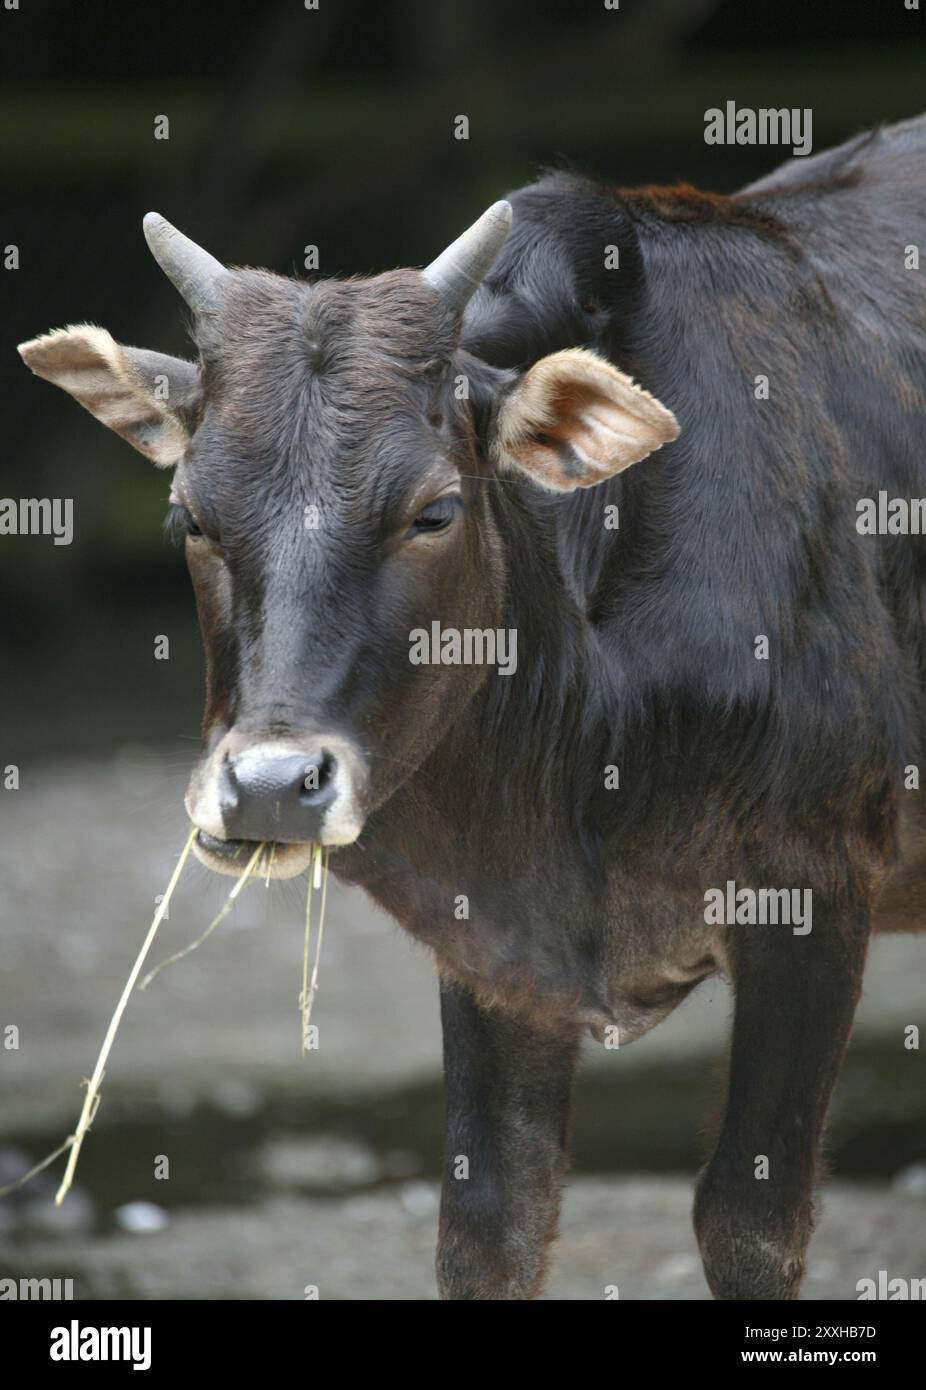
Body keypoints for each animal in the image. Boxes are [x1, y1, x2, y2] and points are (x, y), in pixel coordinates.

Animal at [18, 113, 926, 1301]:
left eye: (435, 510)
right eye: (189, 517)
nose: (272, 788)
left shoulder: (816, 899)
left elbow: (748, 1224)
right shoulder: (491, 956)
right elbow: (489, 1228)